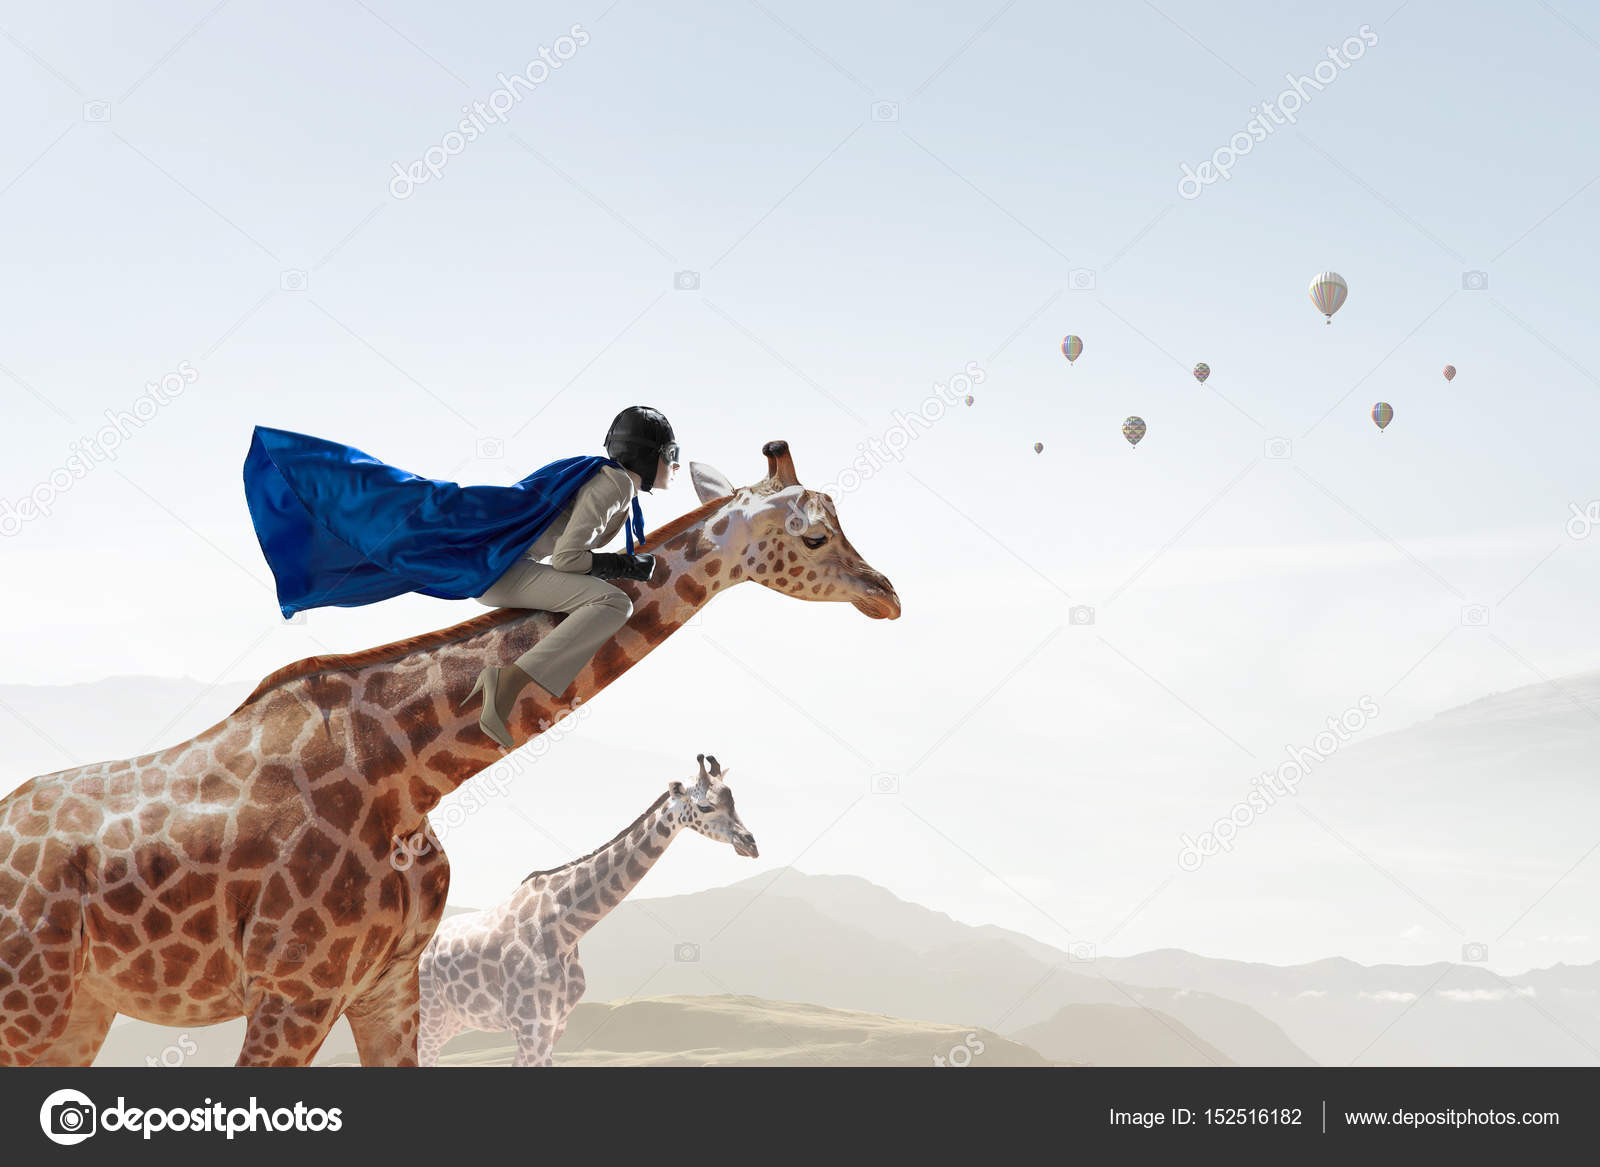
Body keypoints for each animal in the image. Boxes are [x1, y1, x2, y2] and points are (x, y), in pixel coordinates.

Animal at [418, 753, 754, 1067]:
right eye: (705, 806)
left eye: (733, 801)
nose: (750, 844)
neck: (565, 928)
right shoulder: (530, 1026)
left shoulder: (553, 1026)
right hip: (430, 1020)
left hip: (452, 1020)